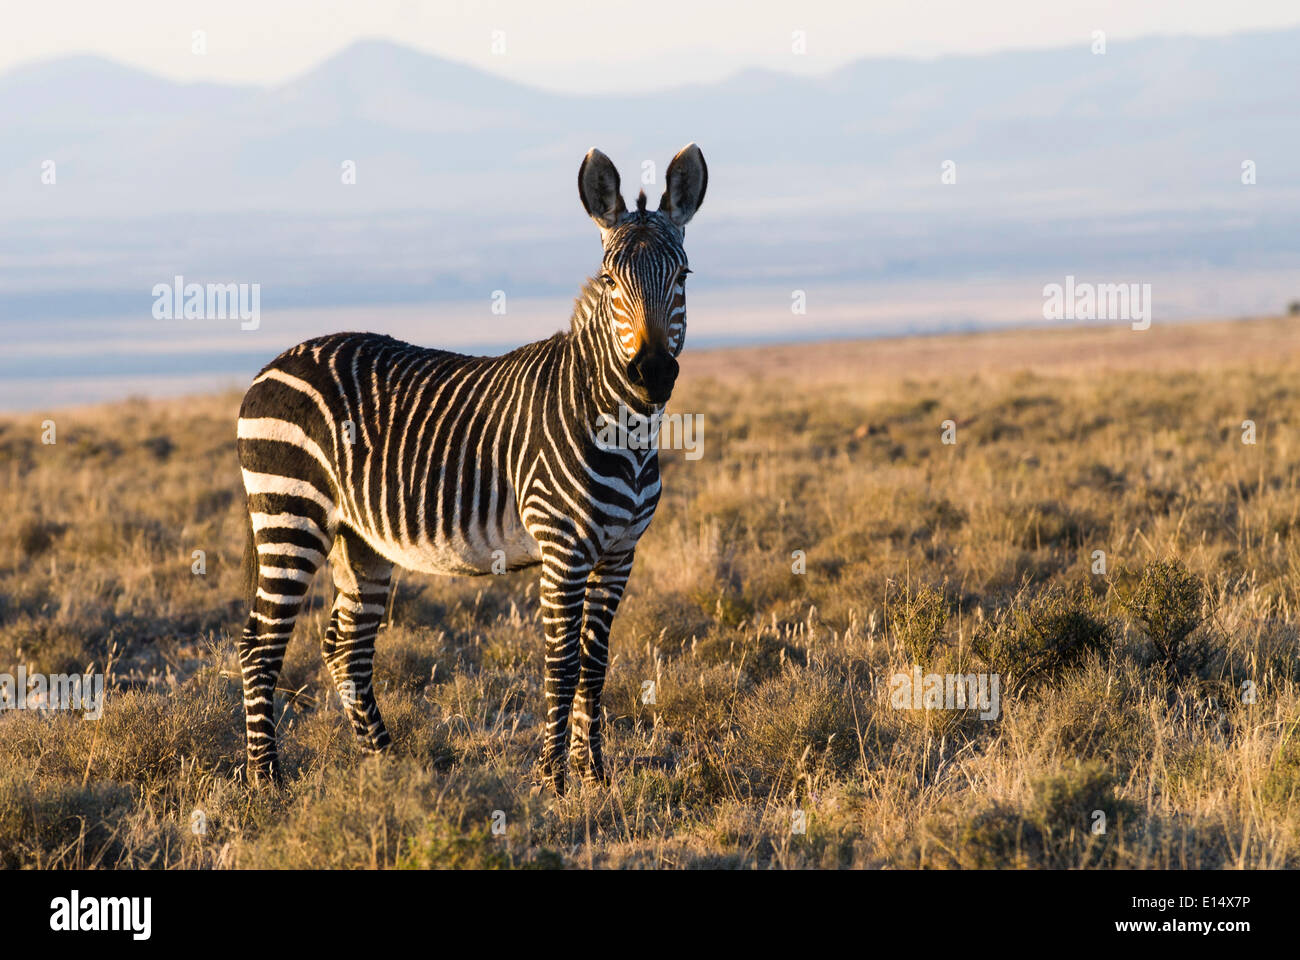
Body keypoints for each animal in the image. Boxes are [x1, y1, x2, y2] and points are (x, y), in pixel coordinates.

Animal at [235, 143, 707, 794]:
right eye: (612, 279)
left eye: (683, 277)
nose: (654, 373)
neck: (624, 430)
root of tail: (272, 364)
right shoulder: (563, 548)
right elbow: (562, 664)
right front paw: (551, 782)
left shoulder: (619, 553)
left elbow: (595, 664)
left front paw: (596, 778)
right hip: (291, 515)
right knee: (260, 644)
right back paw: (269, 782)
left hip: (359, 539)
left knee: (346, 646)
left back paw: (387, 765)